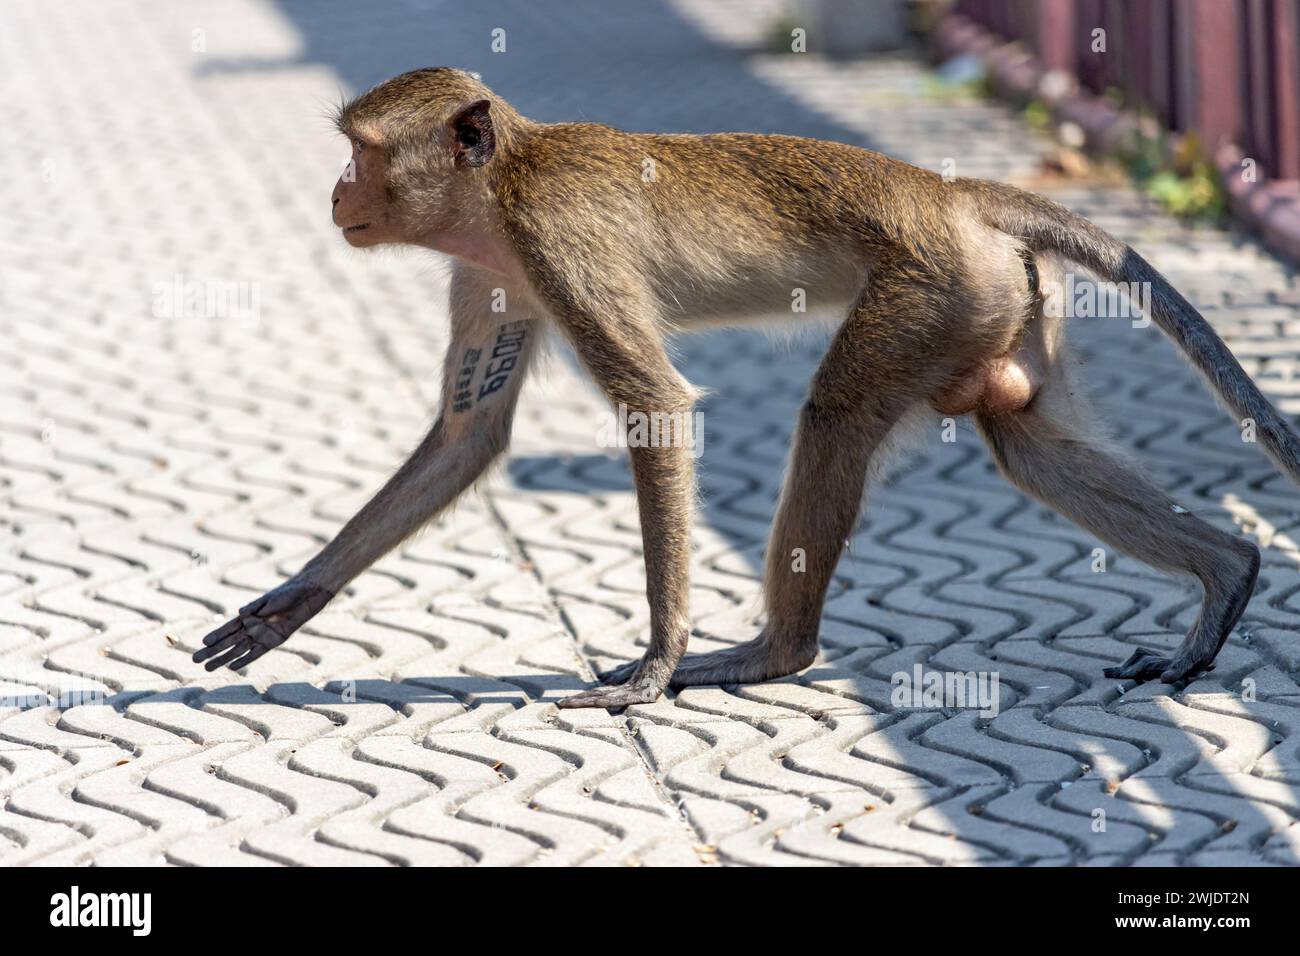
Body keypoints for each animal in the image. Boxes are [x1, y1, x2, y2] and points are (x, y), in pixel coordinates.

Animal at [194, 67, 1295, 708]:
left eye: (360, 152)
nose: (336, 192)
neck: (500, 189)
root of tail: (952, 194)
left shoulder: (553, 239)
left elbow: (654, 405)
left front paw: (654, 661)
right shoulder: (491, 273)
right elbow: (468, 433)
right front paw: (293, 599)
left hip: (931, 287)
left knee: (836, 417)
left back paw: (776, 650)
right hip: (995, 300)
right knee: (1023, 434)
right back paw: (1226, 573)